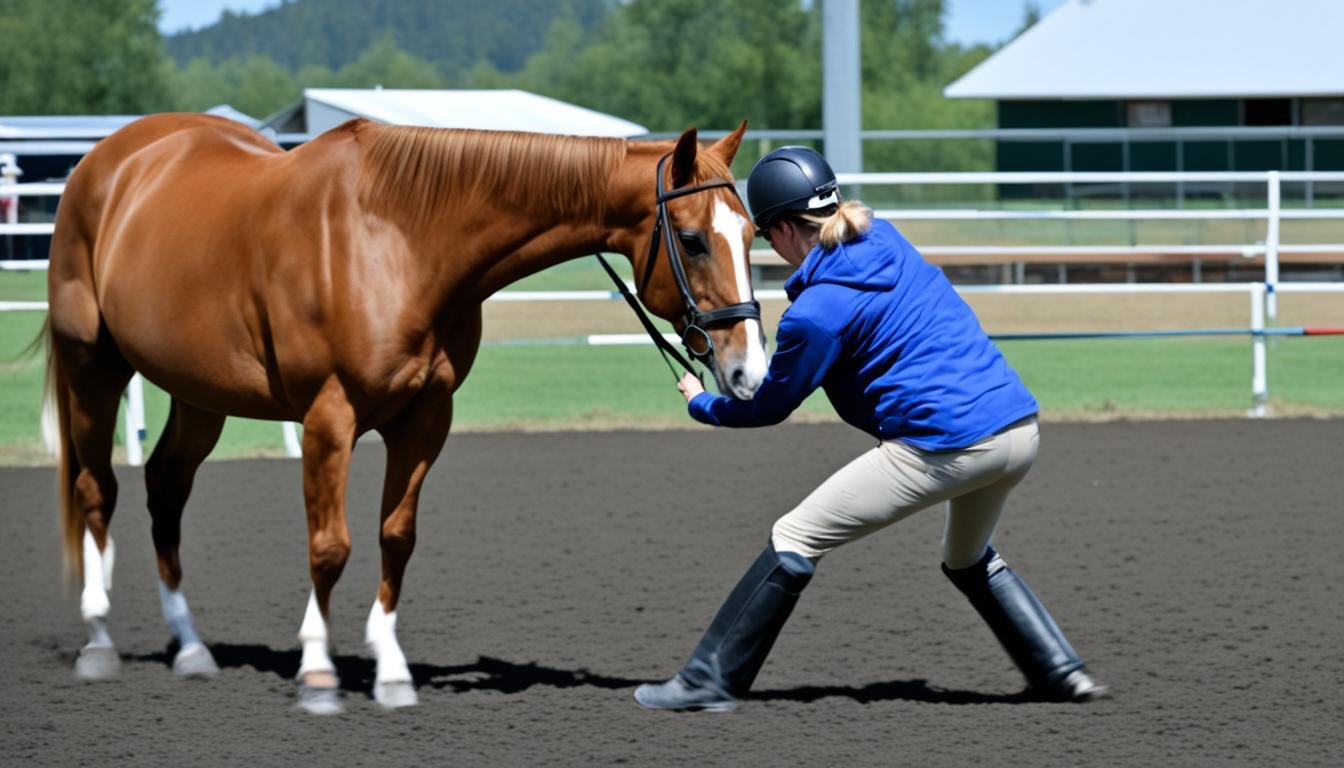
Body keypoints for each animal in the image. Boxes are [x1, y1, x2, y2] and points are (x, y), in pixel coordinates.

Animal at [44, 112, 768, 713]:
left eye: (751, 233)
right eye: (693, 240)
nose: (750, 372)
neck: (397, 238)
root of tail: (109, 160)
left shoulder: (425, 419)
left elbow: (397, 536)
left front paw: (391, 672)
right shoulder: (327, 418)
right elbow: (329, 546)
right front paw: (317, 674)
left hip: (199, 395)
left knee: (164, 488)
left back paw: (191, 647)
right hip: (93, 368)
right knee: (96, 488)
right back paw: (99, 640)